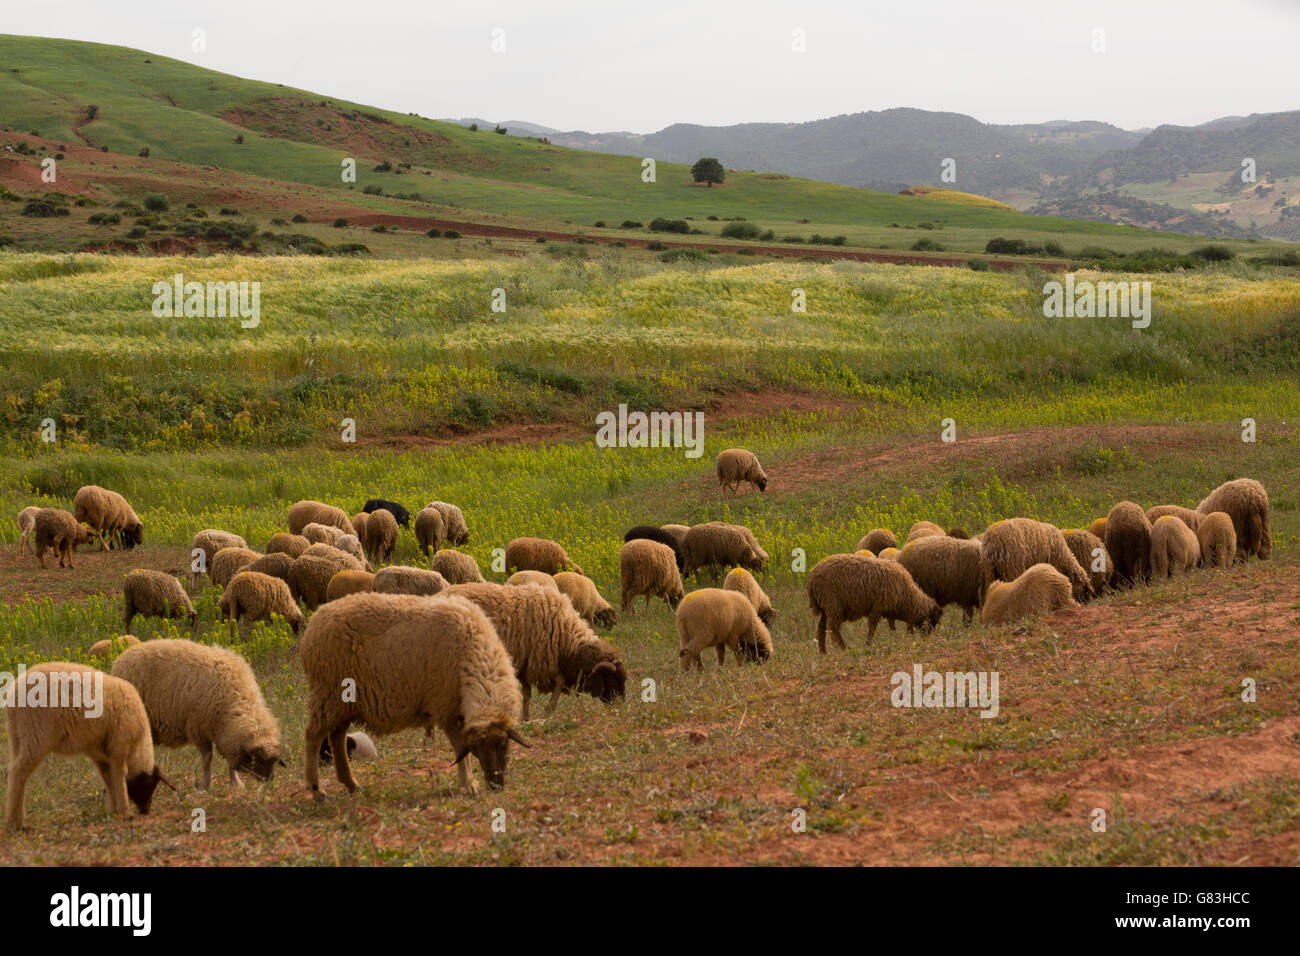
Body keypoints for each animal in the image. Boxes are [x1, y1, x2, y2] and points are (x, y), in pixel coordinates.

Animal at [4, 662, 171, 828]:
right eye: (152, 784)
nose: (145, 810)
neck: (138, 744)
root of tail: (14, 692)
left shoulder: (100, 754)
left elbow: (108, 778)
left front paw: (114, 810)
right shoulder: (120, 744)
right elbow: (119, 775)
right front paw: (124, 811)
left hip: (17, 736)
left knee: (13, 770)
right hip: (37, 735)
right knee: (19, 772)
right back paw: (16, 822)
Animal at [112, 639, 284, 789]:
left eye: (273, 761)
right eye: (257, 759)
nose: (269, 780)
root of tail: (121, 659)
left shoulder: (226, 735)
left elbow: (230, 761)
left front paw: (236, 783)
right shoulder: (200, 728)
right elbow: (208, 758)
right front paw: (206, 785)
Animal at [300, 593, 528, 796]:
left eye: (502, 743)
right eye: (476, 749)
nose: (496, 785)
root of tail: (316, 619)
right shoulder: (445, 707)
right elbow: (459, 748)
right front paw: (469, 784)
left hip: (343, 702)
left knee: (337, 738)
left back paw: (351, 784)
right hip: (328, 692)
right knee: (313, 737)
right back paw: (316, 789)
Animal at [437, 583, 627, 720]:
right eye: (613, 679)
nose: (621, 707)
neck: (567, 639)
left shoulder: (525, 663)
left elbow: (528, 694)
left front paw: (526, 717)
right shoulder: (542, 660)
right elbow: (557, 684)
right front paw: (548, 711)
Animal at [807, 554, 941, 653]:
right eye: (932, 620)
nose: (927, 639)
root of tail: (812, 576)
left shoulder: (888, 610)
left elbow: (892, 627)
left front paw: (894, 639)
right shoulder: (877, 608)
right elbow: (872, 627)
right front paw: (868, 644)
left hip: (825, 607)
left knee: (821, 627)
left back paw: (823, 652)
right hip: (833, 604)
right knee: (833, 627)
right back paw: (845, 647)